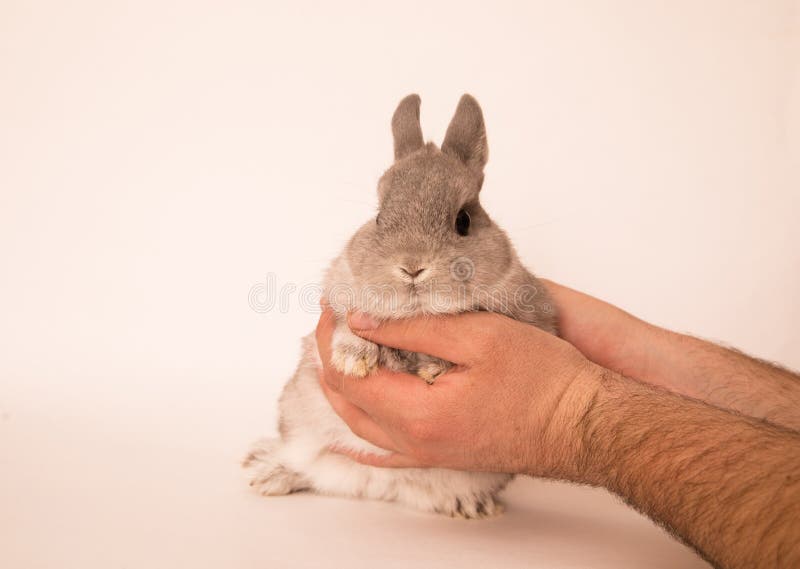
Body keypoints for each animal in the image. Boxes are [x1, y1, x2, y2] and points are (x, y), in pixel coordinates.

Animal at [243, 94, 558, 519]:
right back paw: (267, 472)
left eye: (463, 220)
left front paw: (434, 369)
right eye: (379, 218)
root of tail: (377, 487)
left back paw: (472, 506)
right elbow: (347, 328)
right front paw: (352, 361)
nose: (412, 266)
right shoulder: (341, 301)